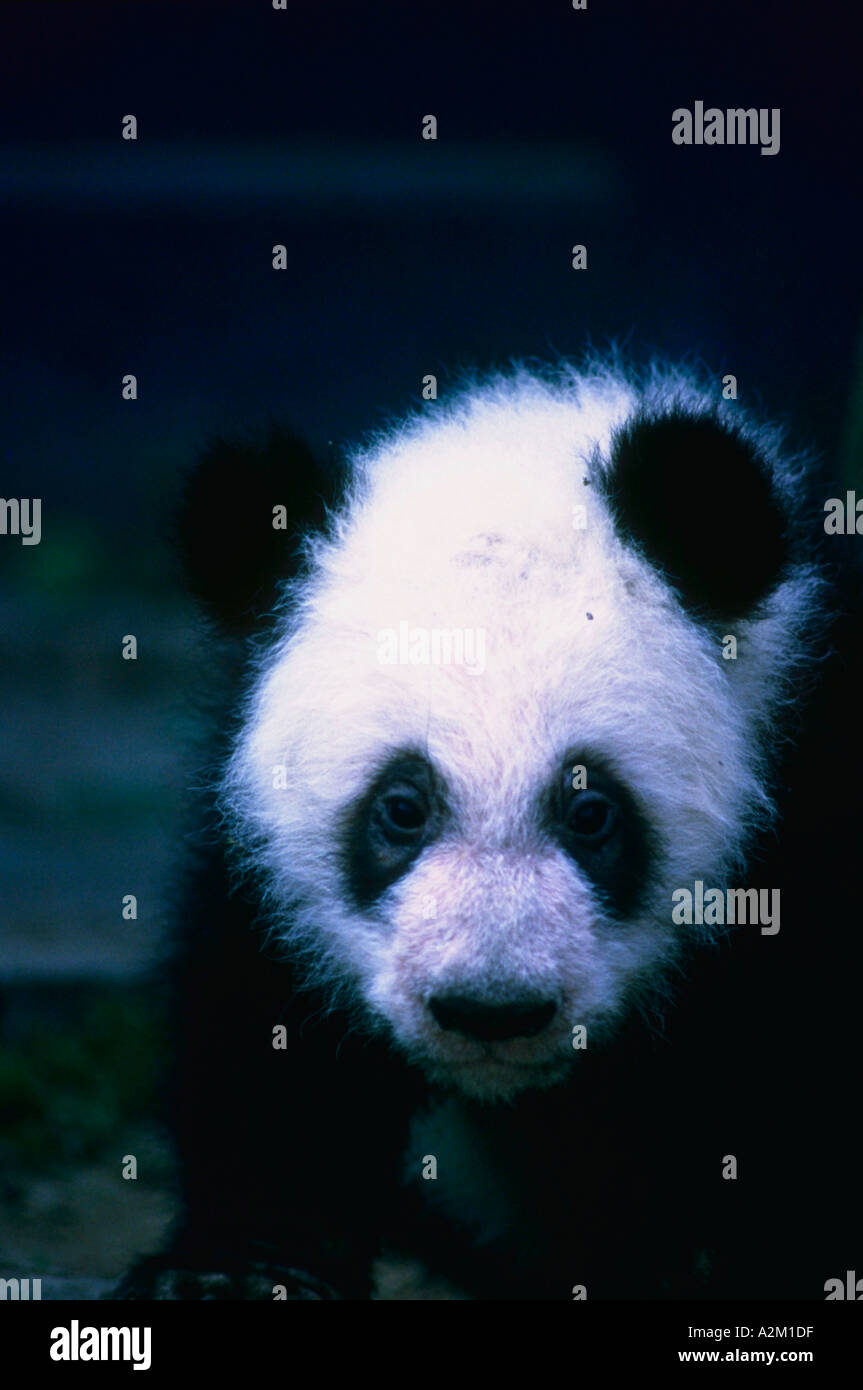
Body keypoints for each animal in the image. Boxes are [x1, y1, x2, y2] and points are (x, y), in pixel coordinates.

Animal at [122, 357, 862, 1301]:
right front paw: (243, 1270)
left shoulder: (807, 765)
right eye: (400, 809)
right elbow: (267, 1036)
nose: (491, 1011)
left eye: (591, 812)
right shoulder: (260, 852)